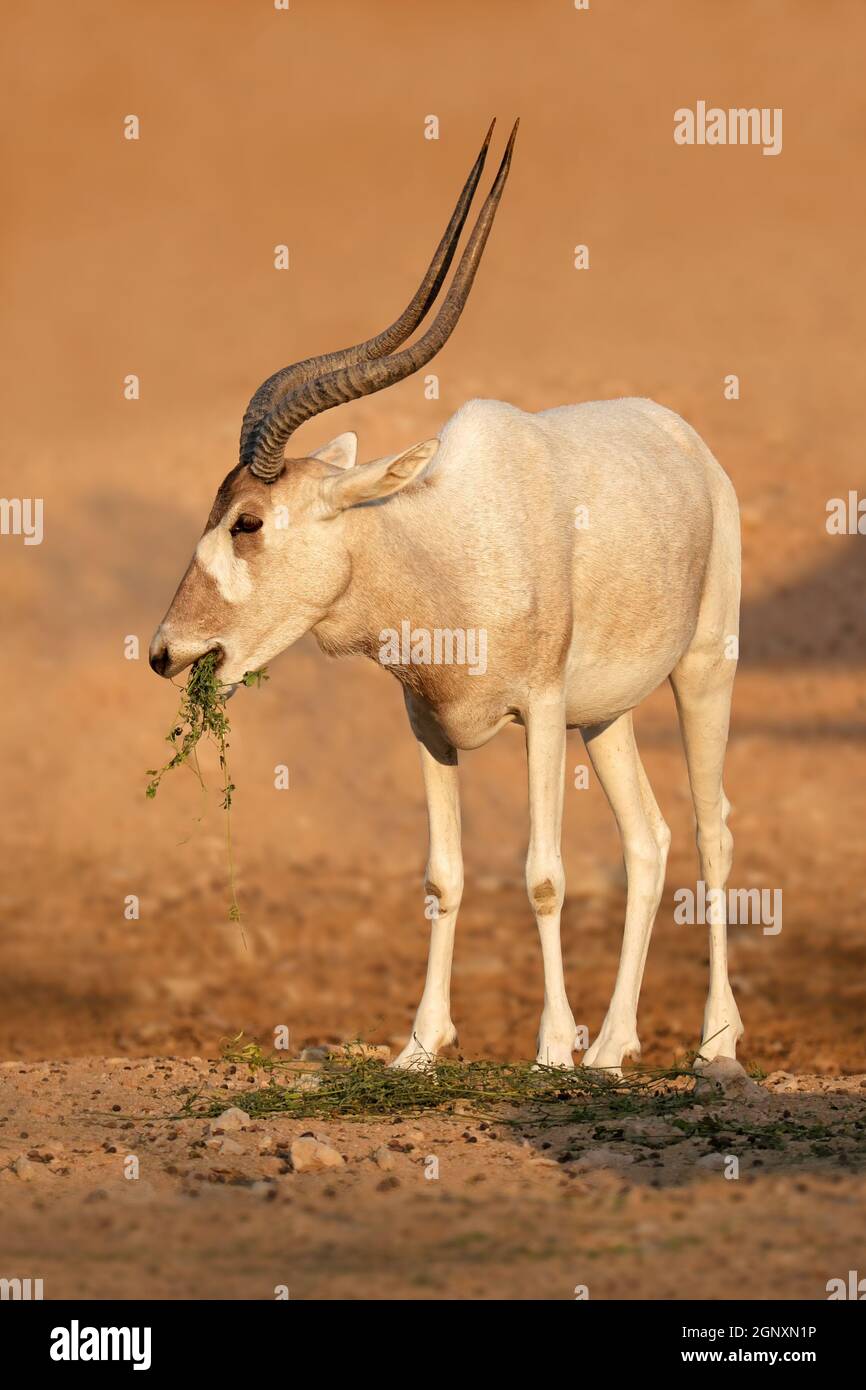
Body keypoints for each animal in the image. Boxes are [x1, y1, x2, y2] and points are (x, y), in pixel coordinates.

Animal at [149, 121, 743, 1071]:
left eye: (247, 521)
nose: (167, 651)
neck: (435, 547)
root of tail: (686, 440)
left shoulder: (540, 712)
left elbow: (543, 875)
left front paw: (550, 1049)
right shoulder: (428, 725)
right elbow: (444, 875)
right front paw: (420, 1045)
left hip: (702, 672)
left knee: (709, 831)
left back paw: (715, 1042)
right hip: (605, 718)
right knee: (647, 842)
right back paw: (614, 1045)